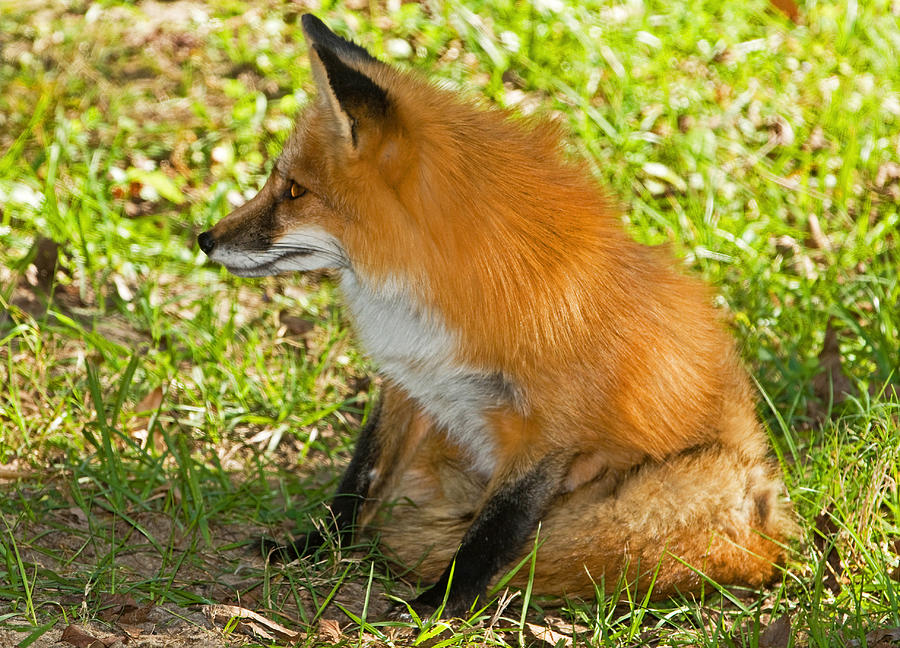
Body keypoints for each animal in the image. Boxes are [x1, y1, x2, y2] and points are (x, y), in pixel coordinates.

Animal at [198, 15, 794, 618]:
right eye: (279, 183)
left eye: (294, 190)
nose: (204, 239)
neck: (431, 301)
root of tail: (772, 538)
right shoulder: (409, 385)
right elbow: (358, 479)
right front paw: (314, 549)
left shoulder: (547, 432)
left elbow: (489, 534)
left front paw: (437, 608)